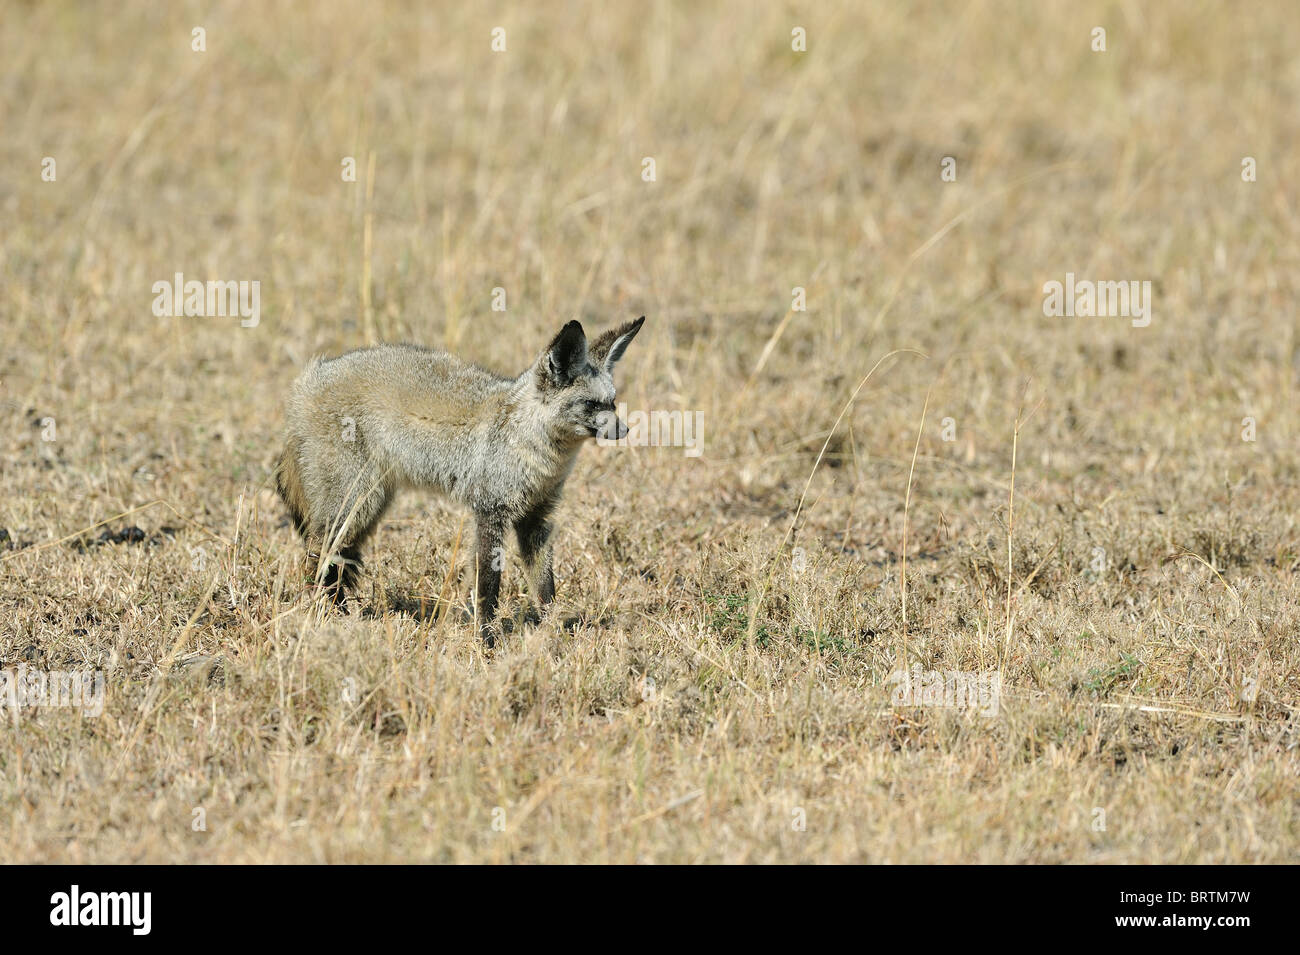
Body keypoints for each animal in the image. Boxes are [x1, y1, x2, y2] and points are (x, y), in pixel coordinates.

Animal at [274, 316, 645, 646]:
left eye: (612, 402)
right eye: (591, 405)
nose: (625, 430)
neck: (533, 446)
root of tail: (306, 381)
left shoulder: (536, 519)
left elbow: (545, 587)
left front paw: (554, 633)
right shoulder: (490, 512)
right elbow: (488, 587)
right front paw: (486, 642)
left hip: (367, 508)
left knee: (336, 563)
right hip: (351, 506)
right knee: (317, 559)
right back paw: (322, 618)